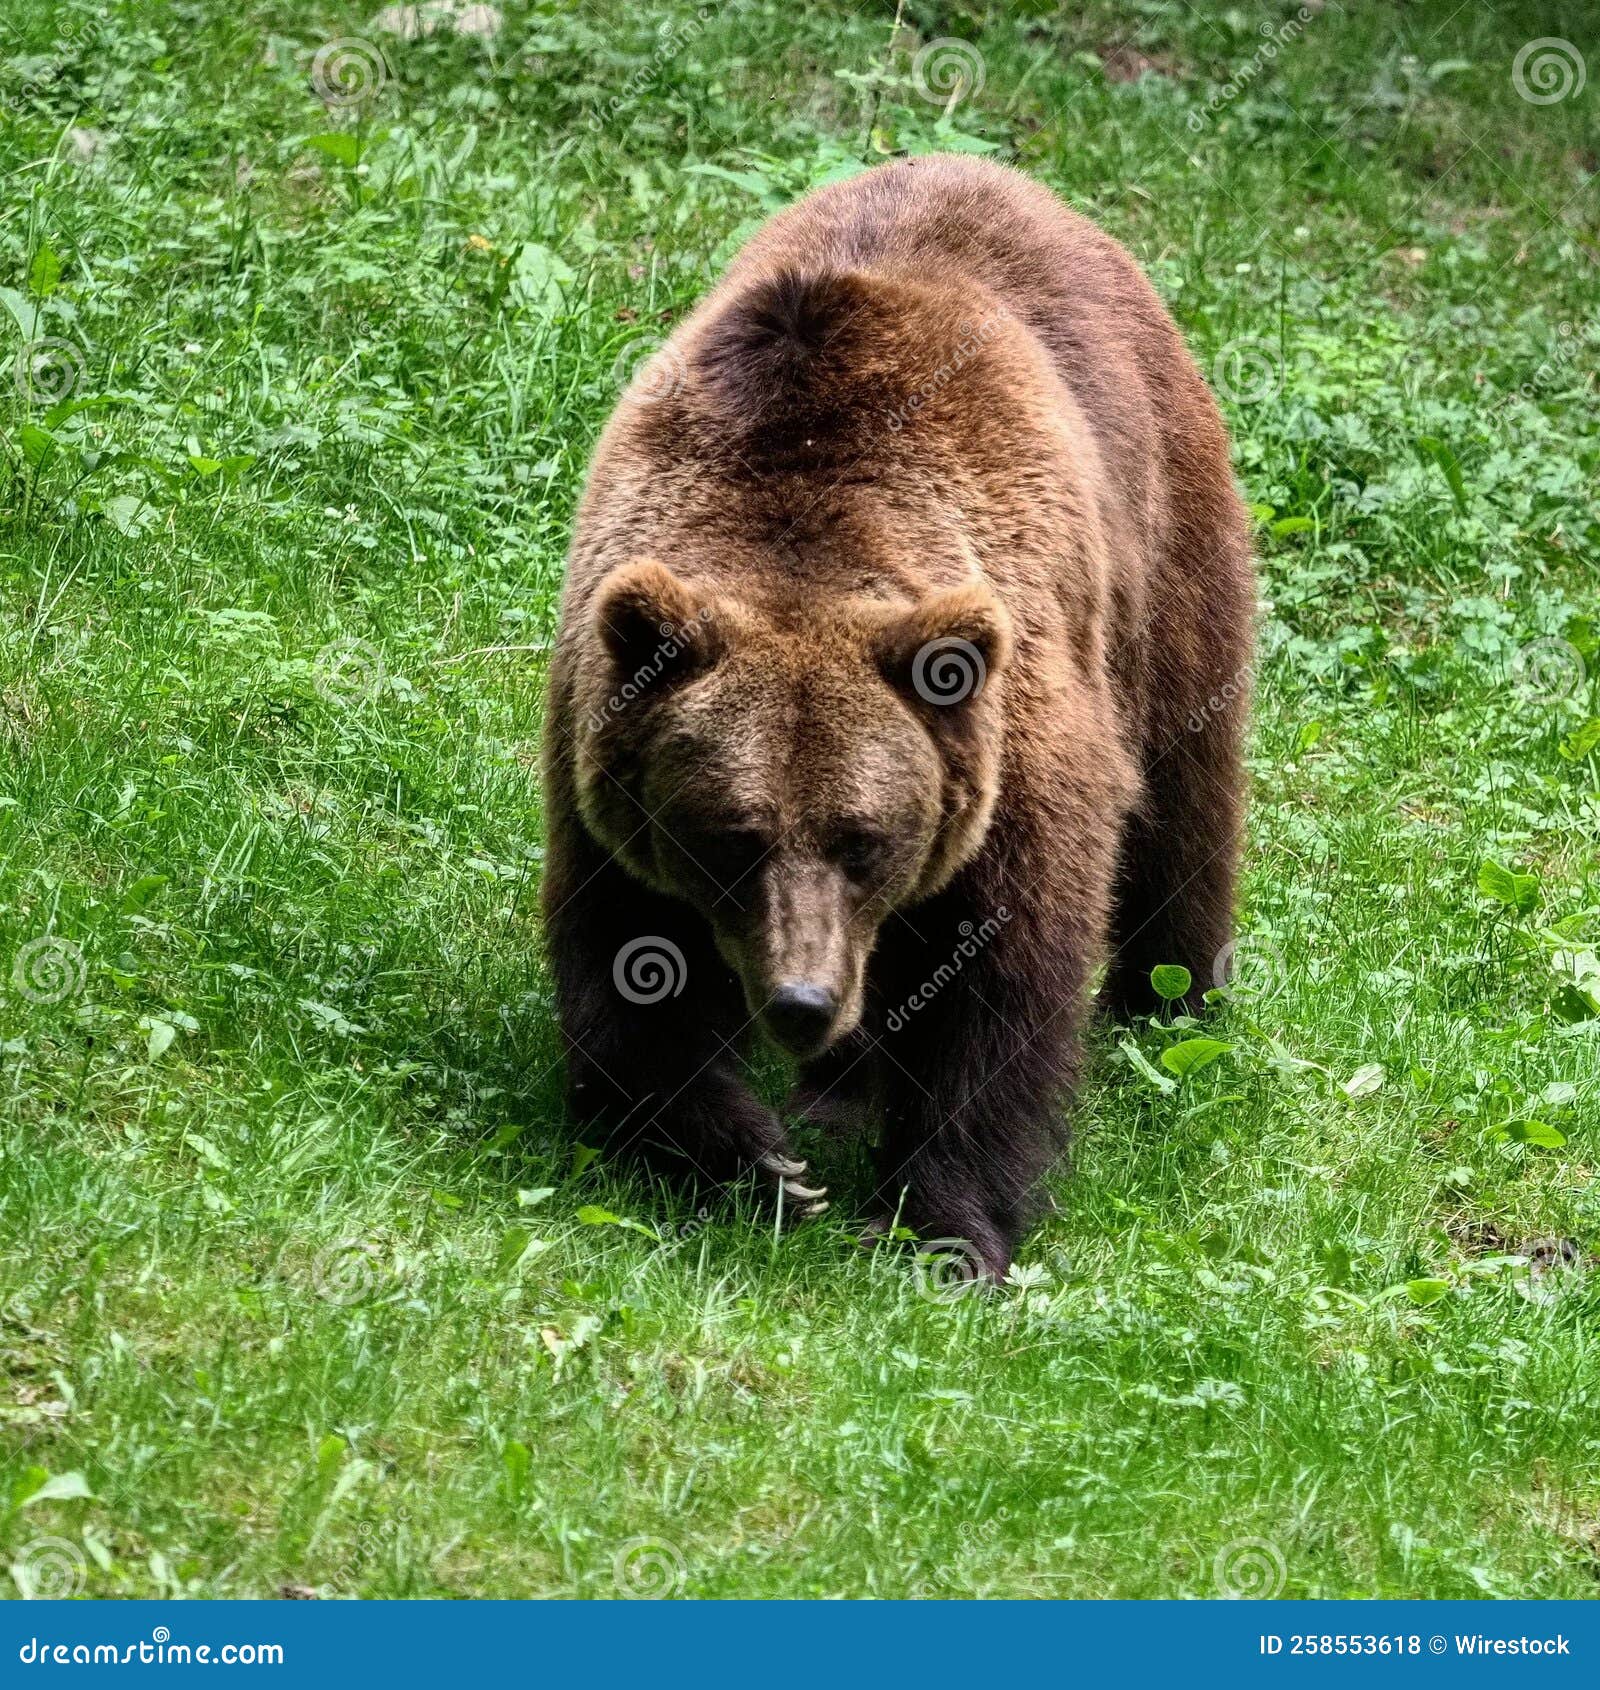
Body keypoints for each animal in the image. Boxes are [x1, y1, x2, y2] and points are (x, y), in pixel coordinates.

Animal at [540, 154, 1254, 1280]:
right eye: (728, 837)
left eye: (863, 837)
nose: (800, 1002)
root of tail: (1003, 175)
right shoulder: (602, 735)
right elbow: (623, 964)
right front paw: (759, 1165)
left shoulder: (1013, 741)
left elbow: (995, 983)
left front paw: (944, 1223)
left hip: (1163, 547)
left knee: (1187, 790)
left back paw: (1170, 999)